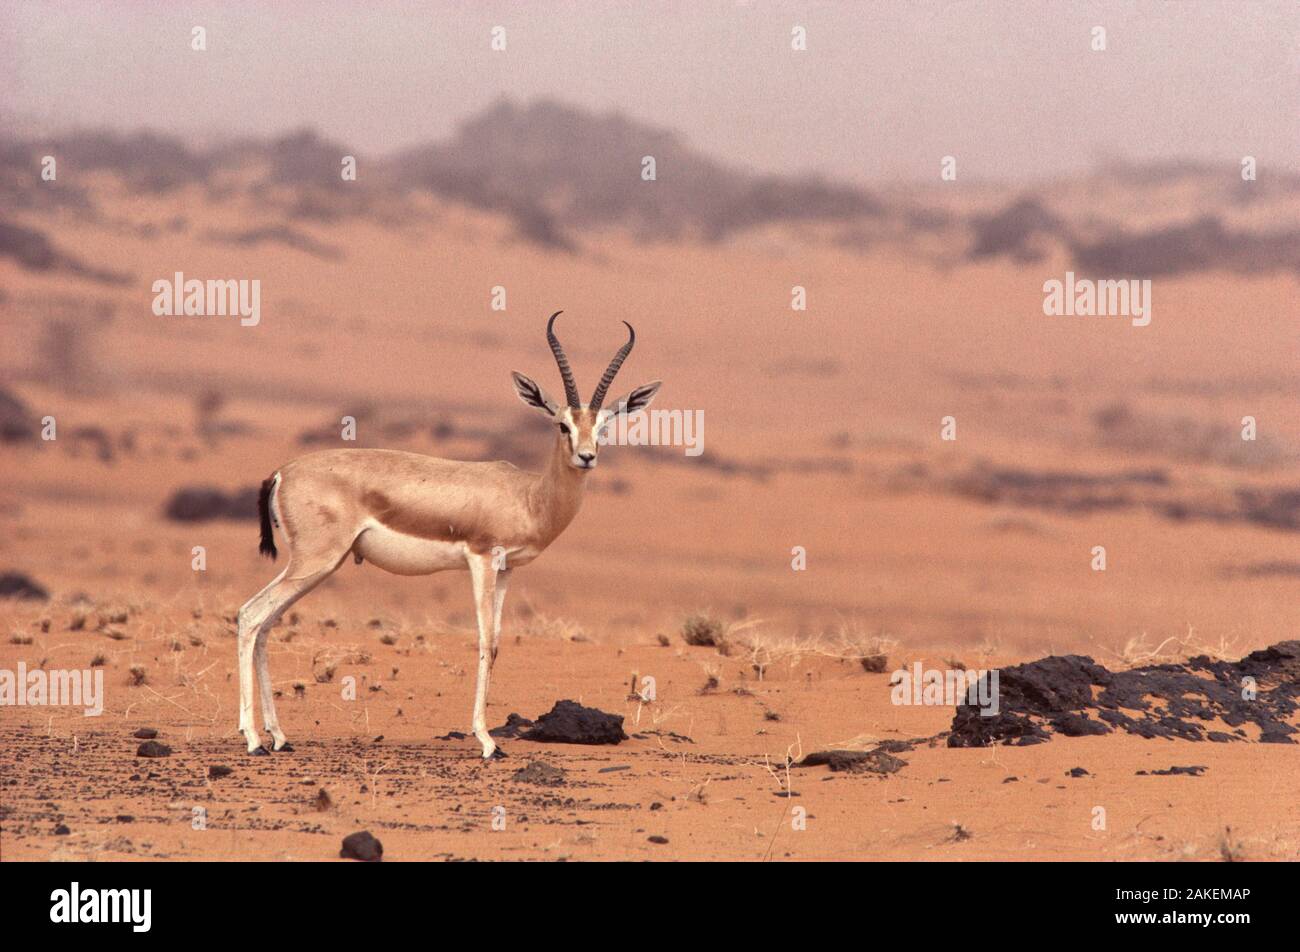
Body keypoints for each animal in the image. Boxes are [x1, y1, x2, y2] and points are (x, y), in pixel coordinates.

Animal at [236, 312, 660, 759]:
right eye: (562, 424)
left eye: (604, 426)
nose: (586, 457)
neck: (528, 495)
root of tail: (282, 471)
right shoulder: (481, 560)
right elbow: (484, 641)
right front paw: (488, 742)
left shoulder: (506, 571)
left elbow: (497, 643)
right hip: (315, 561)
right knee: (251, 615)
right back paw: (253, 740)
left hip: (316, 566)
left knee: (266, 624)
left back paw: (279, 737)